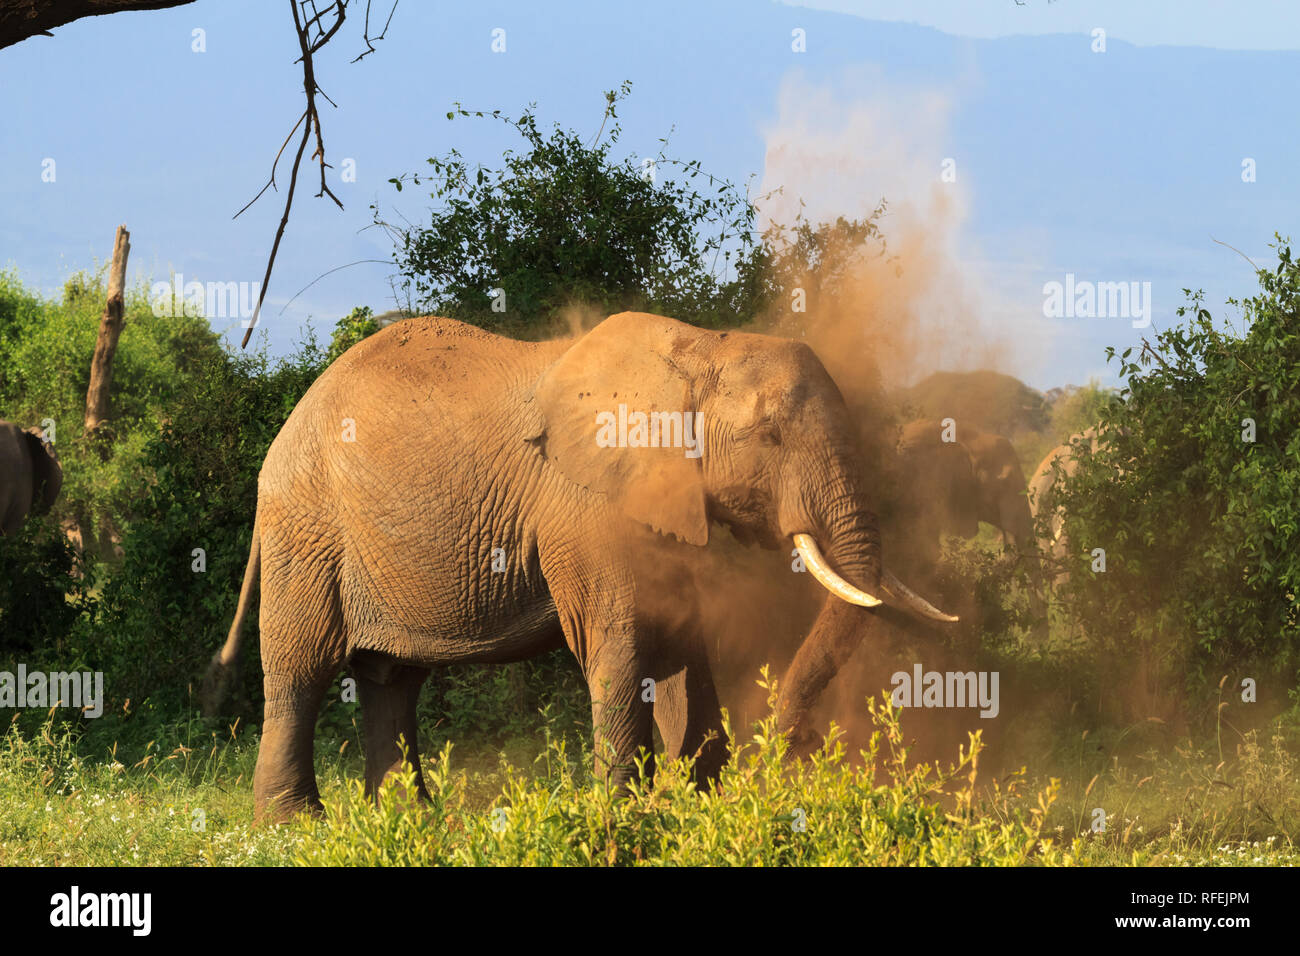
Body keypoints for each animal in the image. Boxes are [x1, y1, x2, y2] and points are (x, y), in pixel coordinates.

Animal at [205, 312, 956, 822]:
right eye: (769, 435)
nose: (788, 746)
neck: (698, 347)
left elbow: (682, 645)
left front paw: (699, 807)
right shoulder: (585, 506)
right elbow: (619, 641)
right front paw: (627, 813)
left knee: (392, 679)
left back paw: (410, 820)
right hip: (307, 530)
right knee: (302, 668)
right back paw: (295, 826)